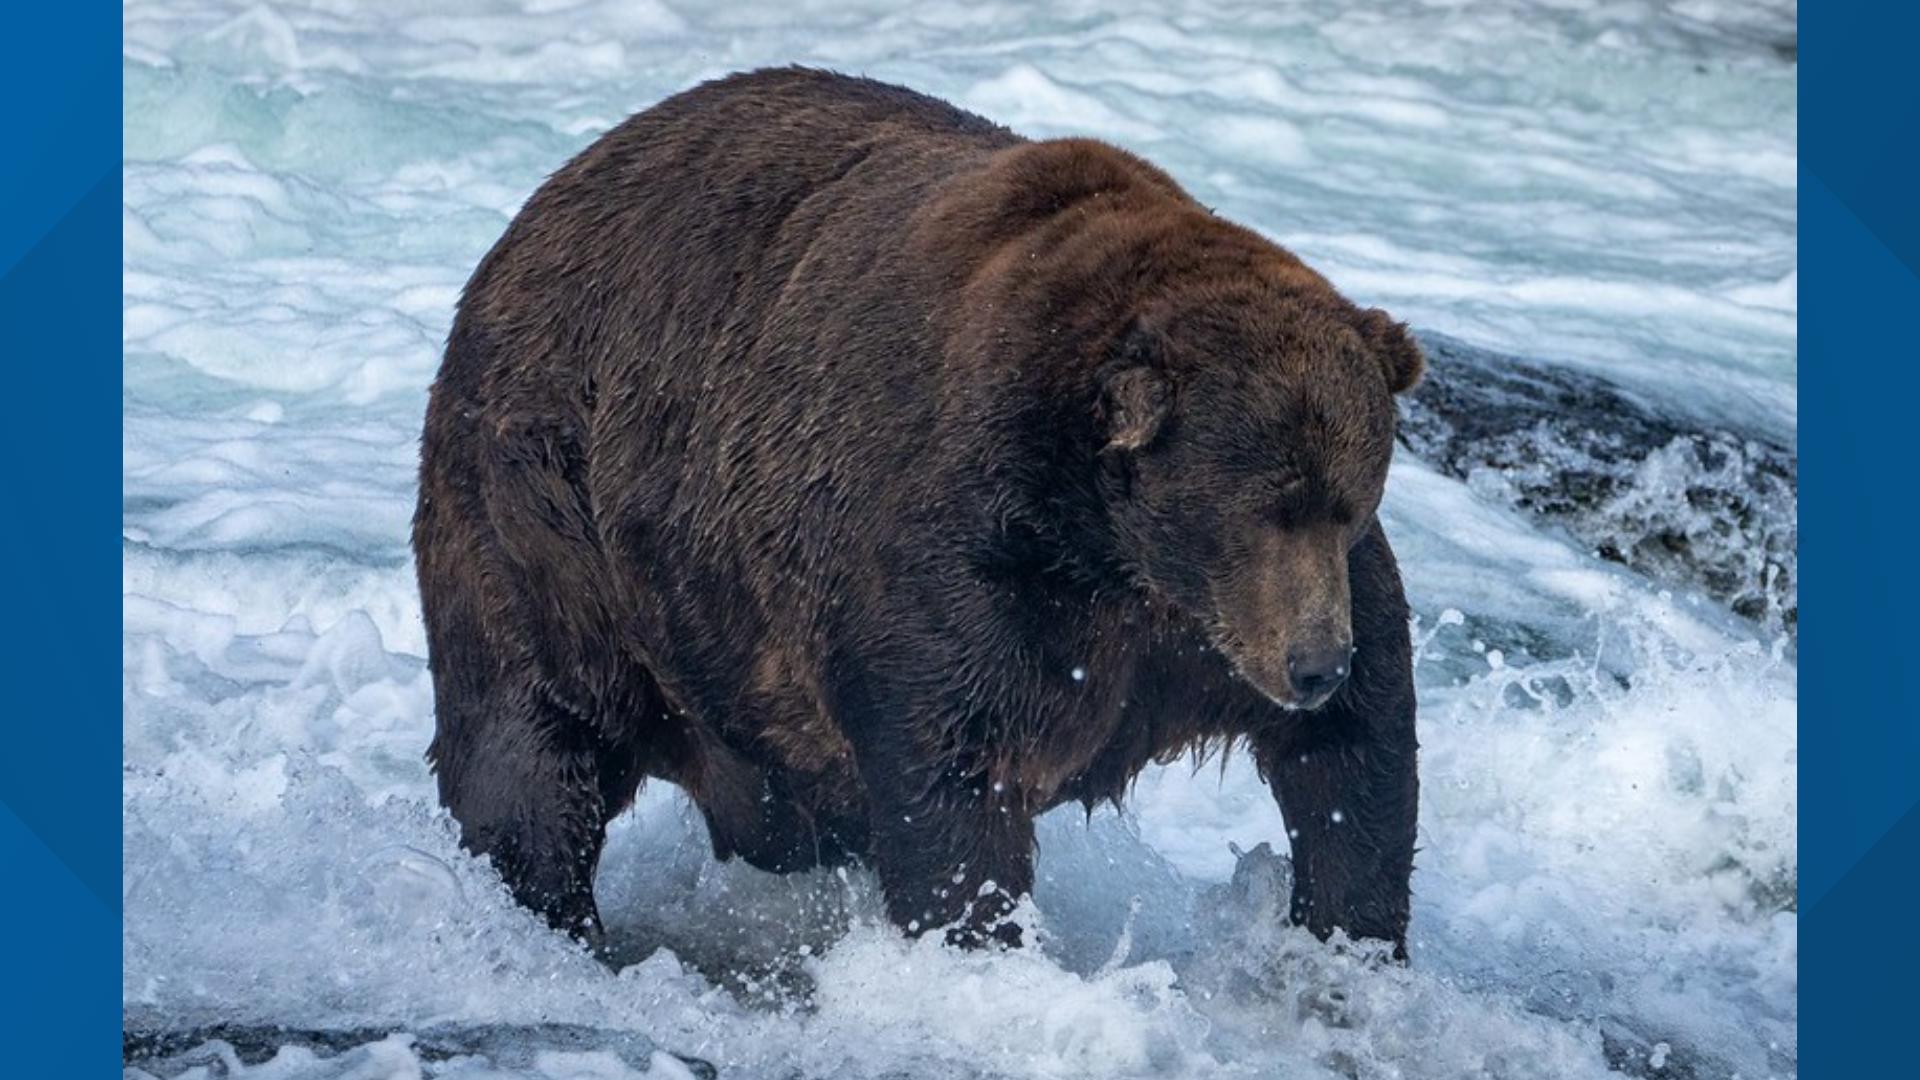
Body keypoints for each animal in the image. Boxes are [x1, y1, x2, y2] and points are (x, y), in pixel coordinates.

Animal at [414, 67, 1423, 956]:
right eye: (1260, 508)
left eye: (1347, 501)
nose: (1313, 664)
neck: (1107, 544)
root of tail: (538, 207)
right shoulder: (965, 561)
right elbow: (953, 772)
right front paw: (981, 942)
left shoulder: (1203, 628)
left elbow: (1357, 755)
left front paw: (1349, 940)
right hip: (551, 512)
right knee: (534, 737)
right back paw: (552, 915)